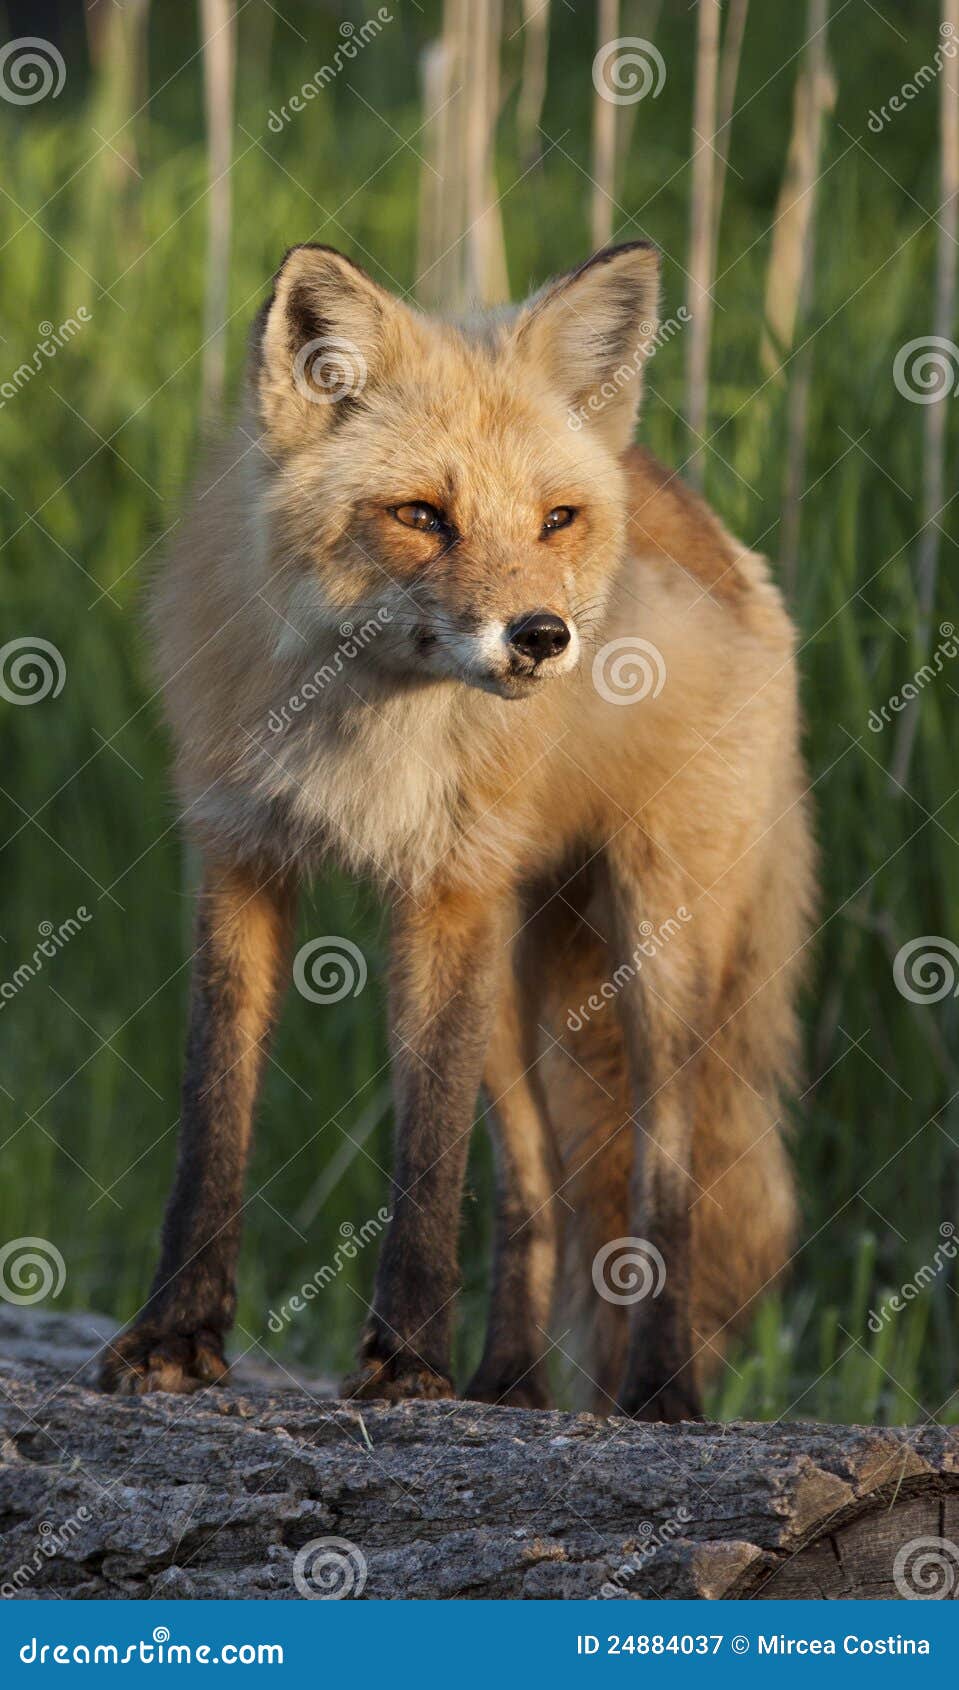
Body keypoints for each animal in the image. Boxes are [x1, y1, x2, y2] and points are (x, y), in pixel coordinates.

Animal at [98, 239, 815, 1421]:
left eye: (554, 520)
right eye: (422, 515)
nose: (541, 637)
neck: (364, 729)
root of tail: (703, 522)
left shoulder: (445, 885)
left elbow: (427, 1157)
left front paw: (406, 1364)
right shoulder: (241, 855)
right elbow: (214, 1117)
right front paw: (176, 1335)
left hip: (656, 949)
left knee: (665, 1180)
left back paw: (659, 1393)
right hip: (518, 986)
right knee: (535, 1188)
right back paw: (507, 1383)